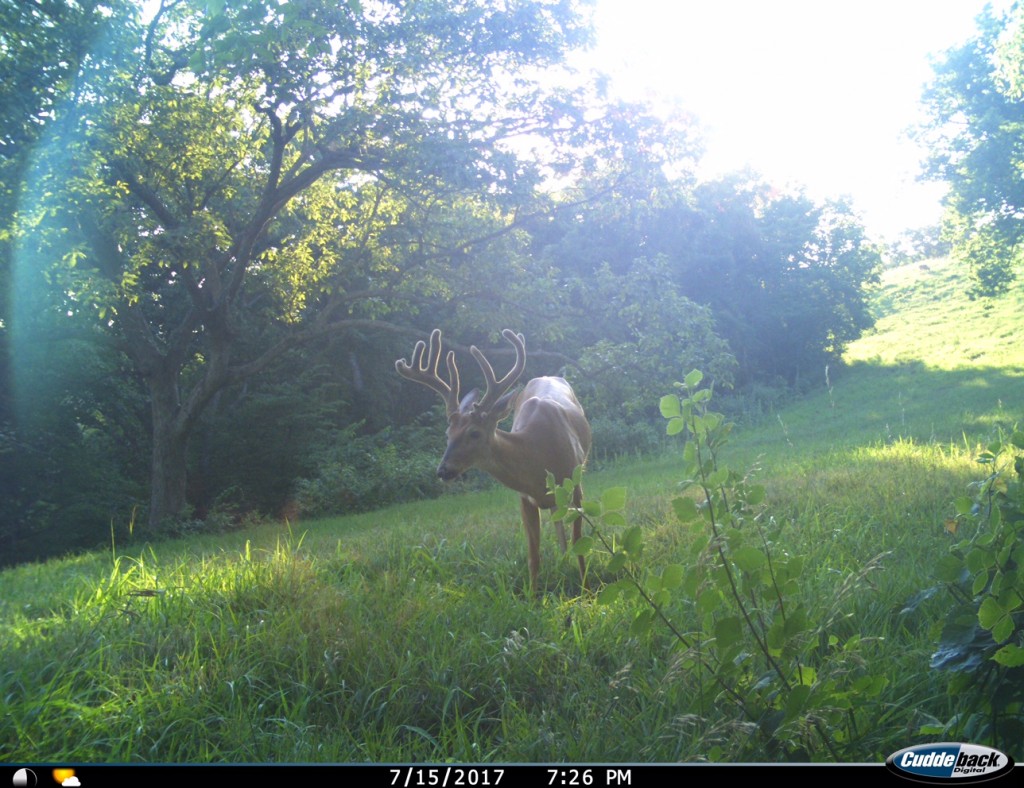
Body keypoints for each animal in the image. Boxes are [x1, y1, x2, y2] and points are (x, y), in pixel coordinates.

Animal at [395, 328, 591, 593]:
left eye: (474, 433)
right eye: (447, 434)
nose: (443, 470)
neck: (539, 455)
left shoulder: (575, 483)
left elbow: (579, 542)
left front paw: (586, 588)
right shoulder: (524, 498)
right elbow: (533, 554)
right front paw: (532, 595)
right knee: (555, 517)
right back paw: (561, 556)